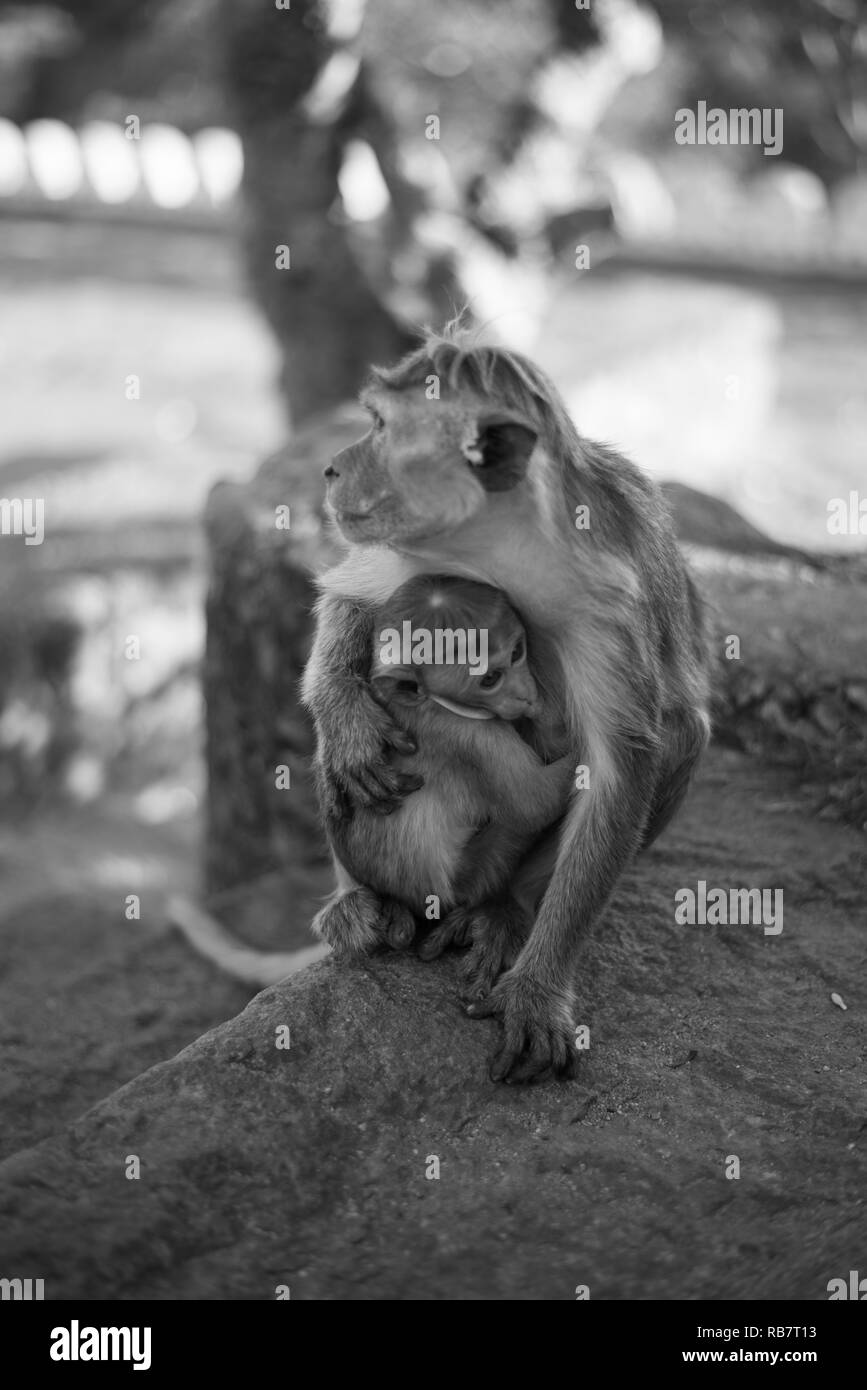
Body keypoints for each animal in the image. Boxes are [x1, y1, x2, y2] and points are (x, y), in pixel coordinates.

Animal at [314, 574, 575, 995]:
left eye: (517, 653)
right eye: (489, 679)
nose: (525, 694)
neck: (431, 702)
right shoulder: (473, 737)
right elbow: (535, 803)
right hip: (465, 877)